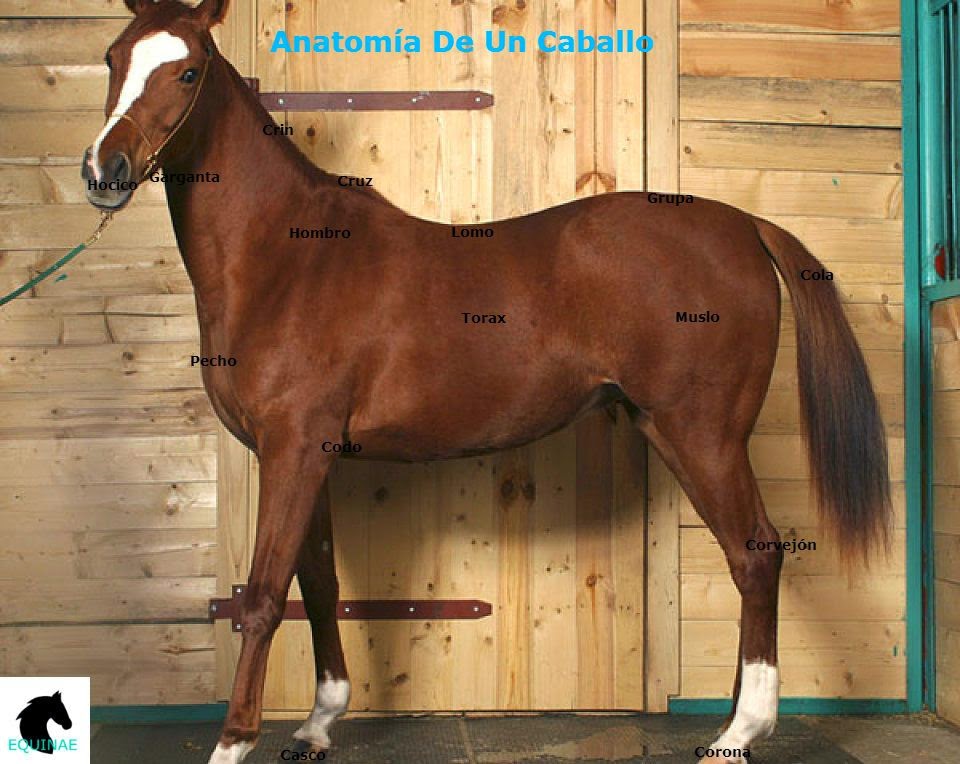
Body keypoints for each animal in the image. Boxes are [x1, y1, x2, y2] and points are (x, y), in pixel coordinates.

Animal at [82, 2, 891, 762]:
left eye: (188, 72)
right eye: (113, 56)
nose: (105, 171)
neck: (289, 256)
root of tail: (745, 225)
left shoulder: (292, 449)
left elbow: (261, 595)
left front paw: (232, 741)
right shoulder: (307, 456)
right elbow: (317, 584)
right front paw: (317, 724)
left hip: (704, 433)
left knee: (756, 555)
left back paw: (740, 731)